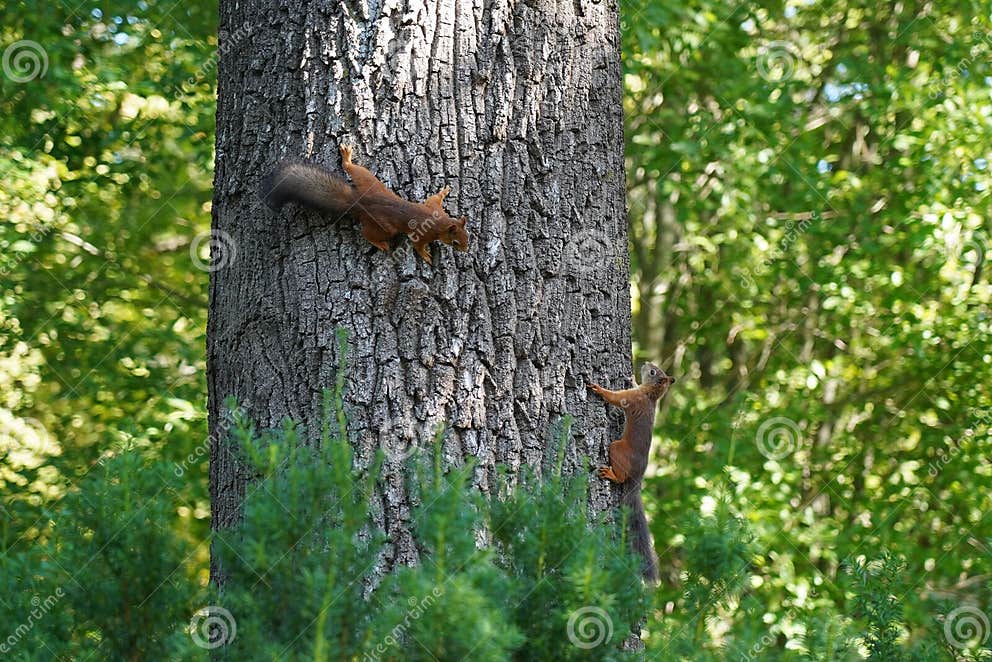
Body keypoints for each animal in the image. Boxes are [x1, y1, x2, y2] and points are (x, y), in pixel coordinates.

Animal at [261, 145, 469, 264]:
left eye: (468, 236)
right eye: (456, 242)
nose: (466, 250)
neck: (440, 223)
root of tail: (359, 202)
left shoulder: (434, 208)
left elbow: (434, 198)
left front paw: (444, 191)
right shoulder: (424, 233)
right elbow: (417, 244)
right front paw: (425, 255)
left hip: (369, 180)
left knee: (351, 169)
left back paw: (346, 156)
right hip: (384, 225)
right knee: (366, 233)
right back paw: (379, 243)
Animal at [588, 362, 675, 583]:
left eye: (653, 372)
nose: (645, 363)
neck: (650, 394)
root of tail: (637, 479)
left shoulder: (631, 398)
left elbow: (615, 397)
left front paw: (599, 389)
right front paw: (631, 378)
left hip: (617, 448)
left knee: (620, 476)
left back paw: (611, 475)